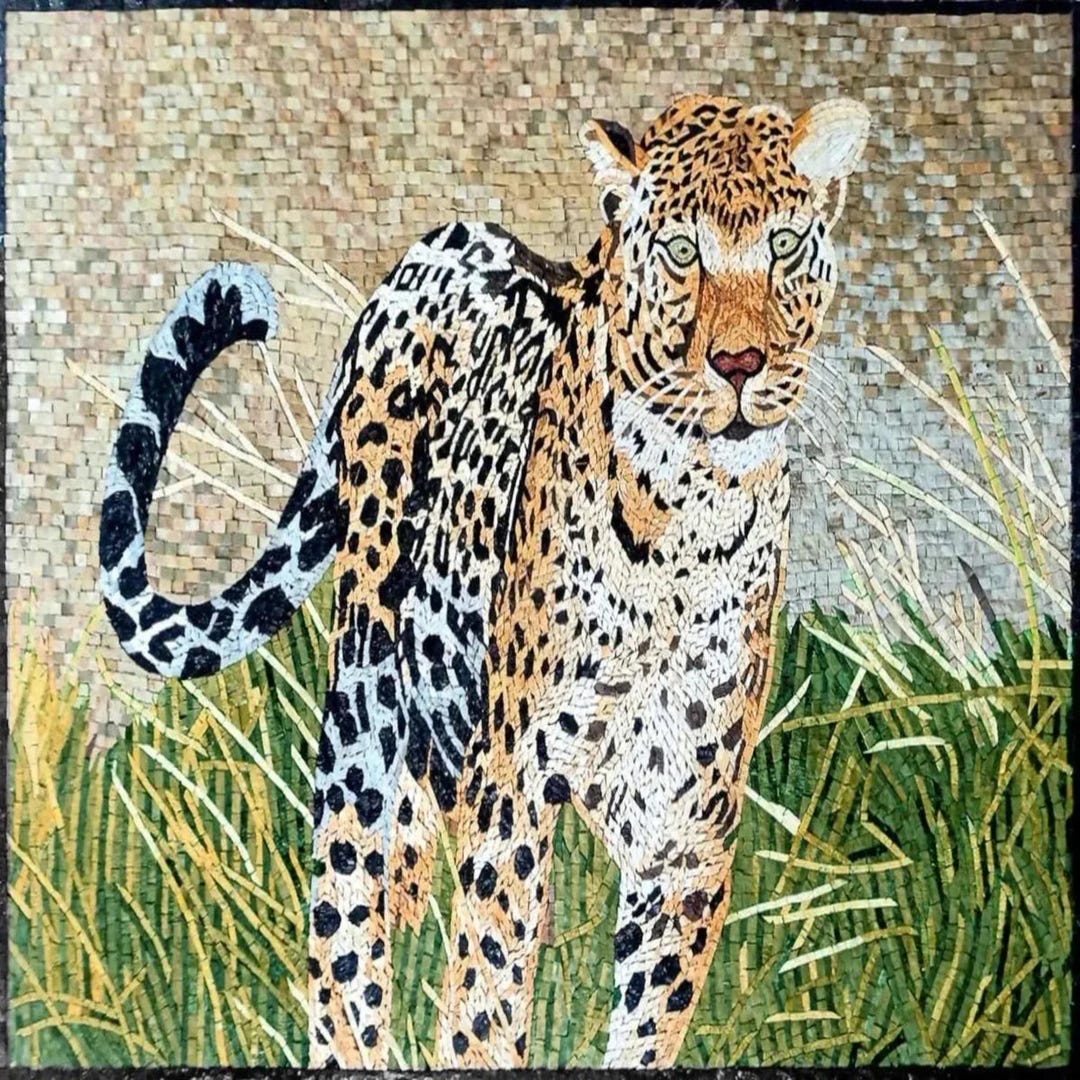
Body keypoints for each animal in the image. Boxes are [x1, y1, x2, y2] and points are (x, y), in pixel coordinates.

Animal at [99, 93, 869, 1069]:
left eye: (784, 246)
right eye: (681, 251)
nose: (739, 365)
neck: (691, 510)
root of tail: (440, 242)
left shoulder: (684, 825)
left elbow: (645, 1017)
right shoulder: (516, 782)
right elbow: (487, 985)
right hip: (366, 700)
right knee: (346, 927)